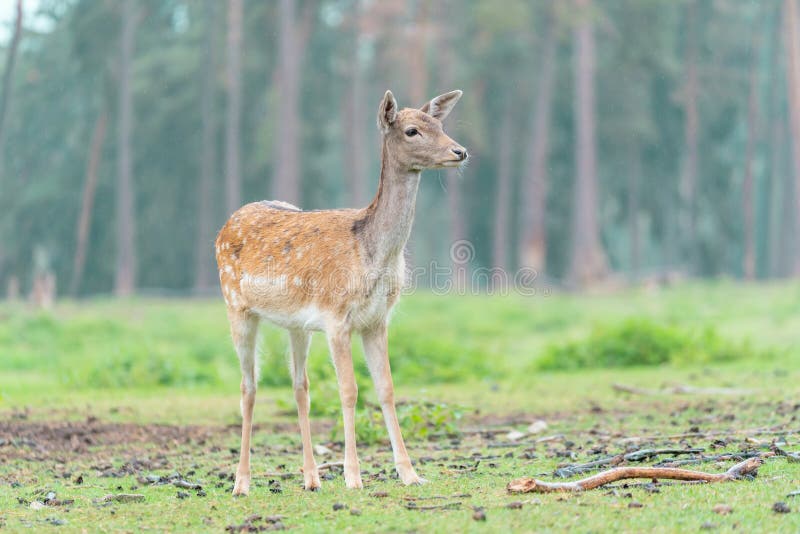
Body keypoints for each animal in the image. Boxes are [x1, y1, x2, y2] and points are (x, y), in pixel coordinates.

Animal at [215, 90, 467, 495]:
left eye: (439, 124)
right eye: (412, 130)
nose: (460, 151)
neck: (372, 254)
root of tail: (227, 223)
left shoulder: (377, 320)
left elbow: (387, 388)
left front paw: (410, 473)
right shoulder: (336, 319)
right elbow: (348, 391)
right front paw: (353, 476)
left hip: (296, 326)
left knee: (299, 386)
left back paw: (311, 478)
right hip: (236, 307)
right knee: (248, 387)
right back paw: (241, 483)